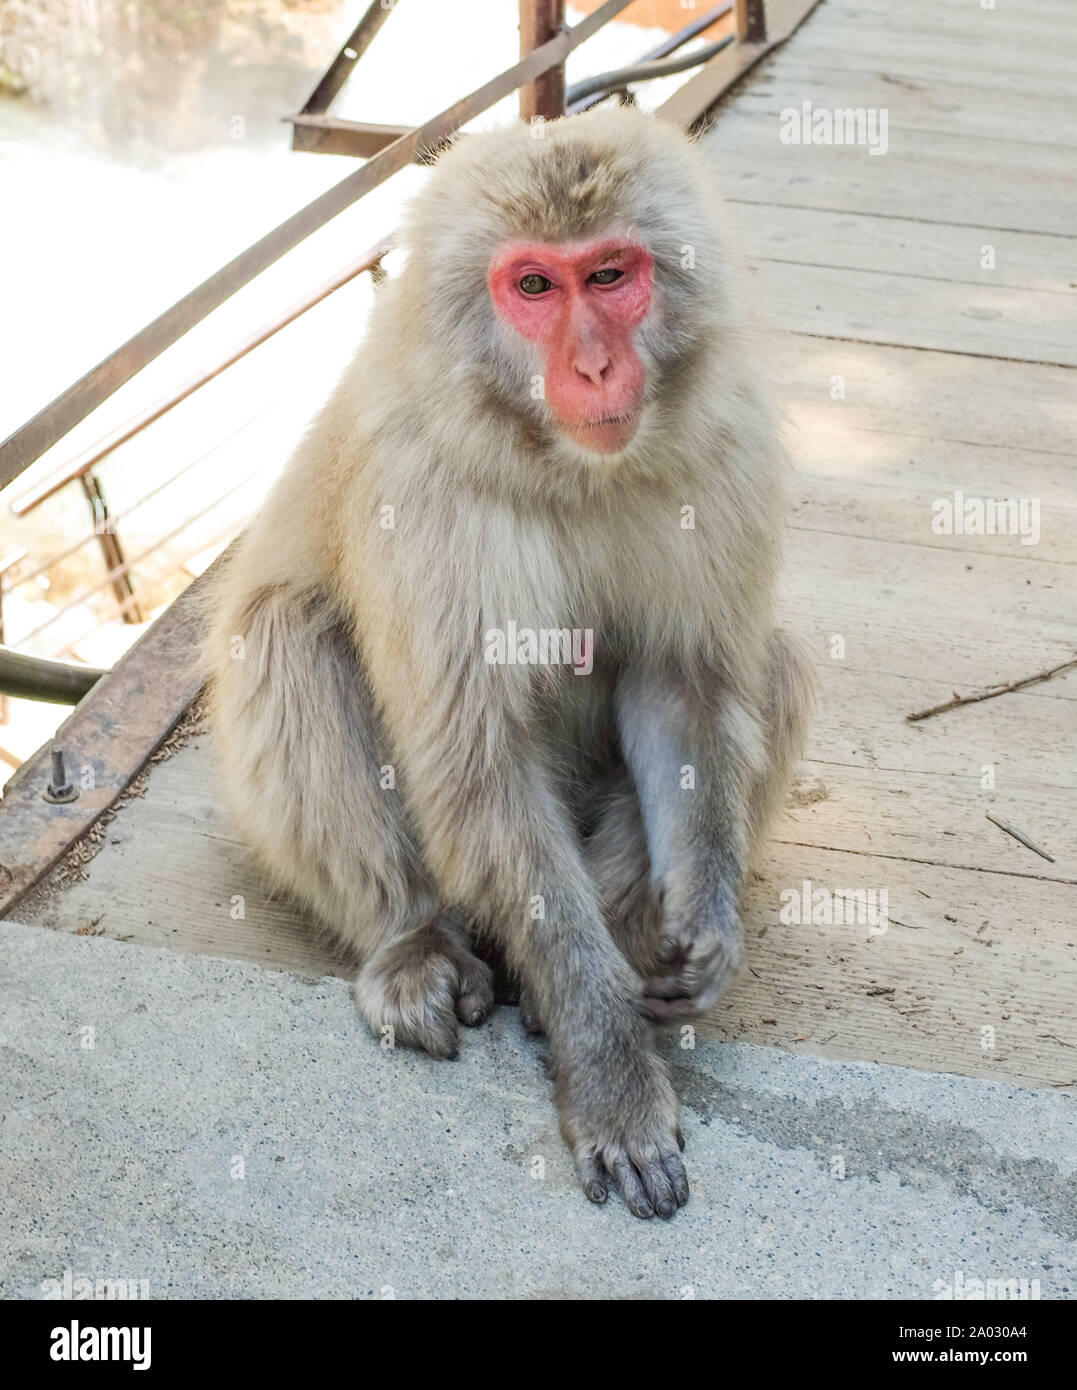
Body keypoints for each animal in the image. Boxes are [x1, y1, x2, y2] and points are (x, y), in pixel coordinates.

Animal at [208, 106, 814, 1221]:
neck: (564, 464)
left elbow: (679, 687)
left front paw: (703, 918)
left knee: (775, 664)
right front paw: (607, 1067)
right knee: (286, 634)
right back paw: (416, 944)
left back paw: (625, 939)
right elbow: (474, 759)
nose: (595, 368)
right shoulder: (419, 491)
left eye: (610, 275)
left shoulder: (728, 445)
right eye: (533, 286)